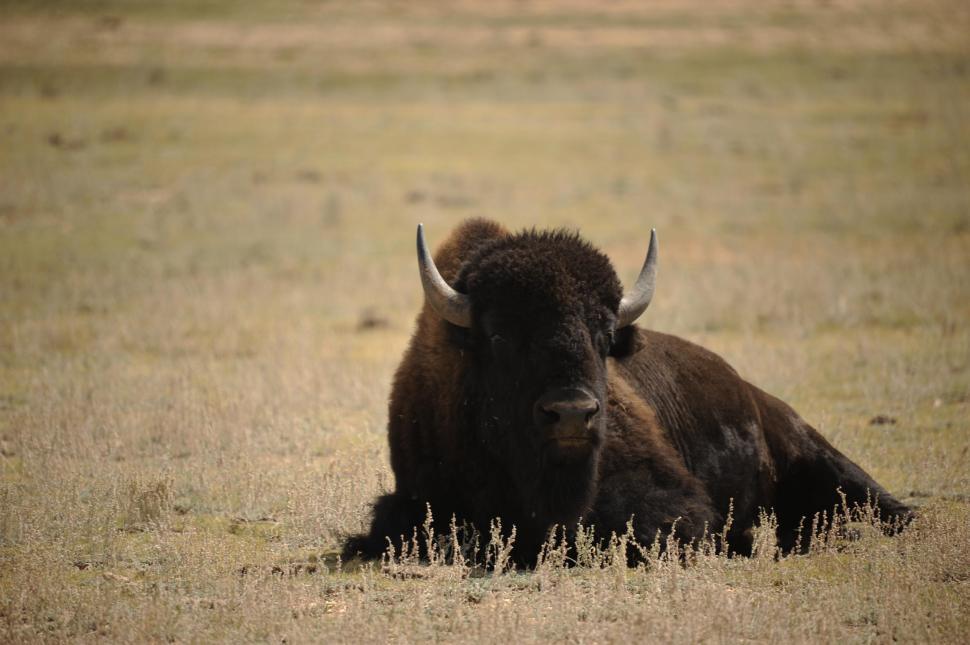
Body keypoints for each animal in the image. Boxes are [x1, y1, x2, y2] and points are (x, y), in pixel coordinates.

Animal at [343, 219, 911, 563]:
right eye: (500, 335)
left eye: (603, 335)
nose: (572, 414)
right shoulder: (413, 495)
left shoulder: (668, 497)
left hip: (818, 453)